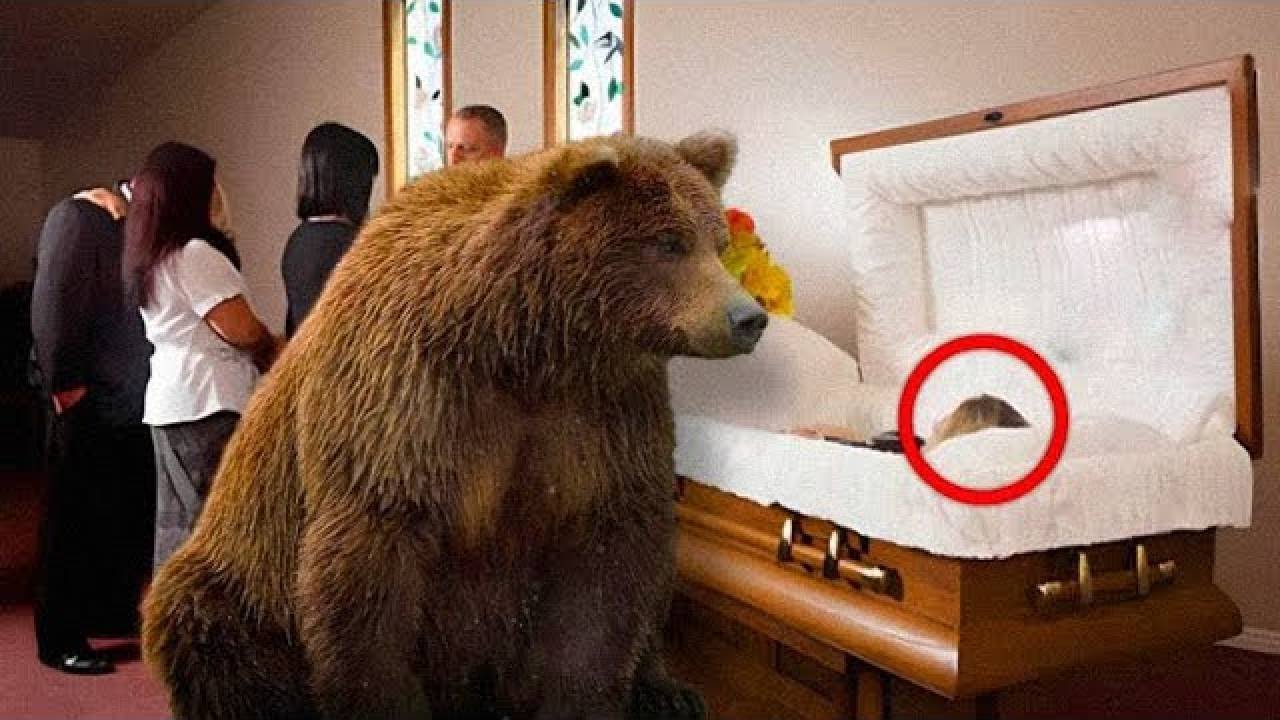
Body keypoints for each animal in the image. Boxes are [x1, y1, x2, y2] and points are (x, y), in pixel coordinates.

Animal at [141, 130, 767, 720]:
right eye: (669, 242)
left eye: (717, 242)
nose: (749, 316)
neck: (523, 349)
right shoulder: (406, 406)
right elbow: (370, 585)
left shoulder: (600, 417)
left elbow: (607, 572)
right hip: (242, 587)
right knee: (208, 626)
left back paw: (668, 691)